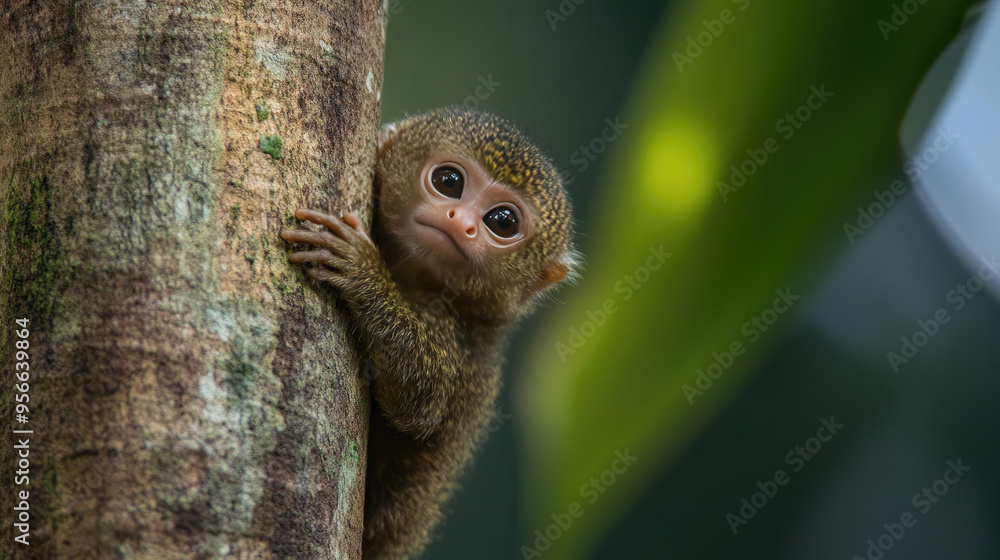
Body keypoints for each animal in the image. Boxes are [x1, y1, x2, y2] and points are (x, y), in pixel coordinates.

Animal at [280, 106, 577, 559]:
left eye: (502, 222)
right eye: (449, 182)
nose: (463, 223)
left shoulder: (452, 332)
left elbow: (421, 400)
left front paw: (362, 271)